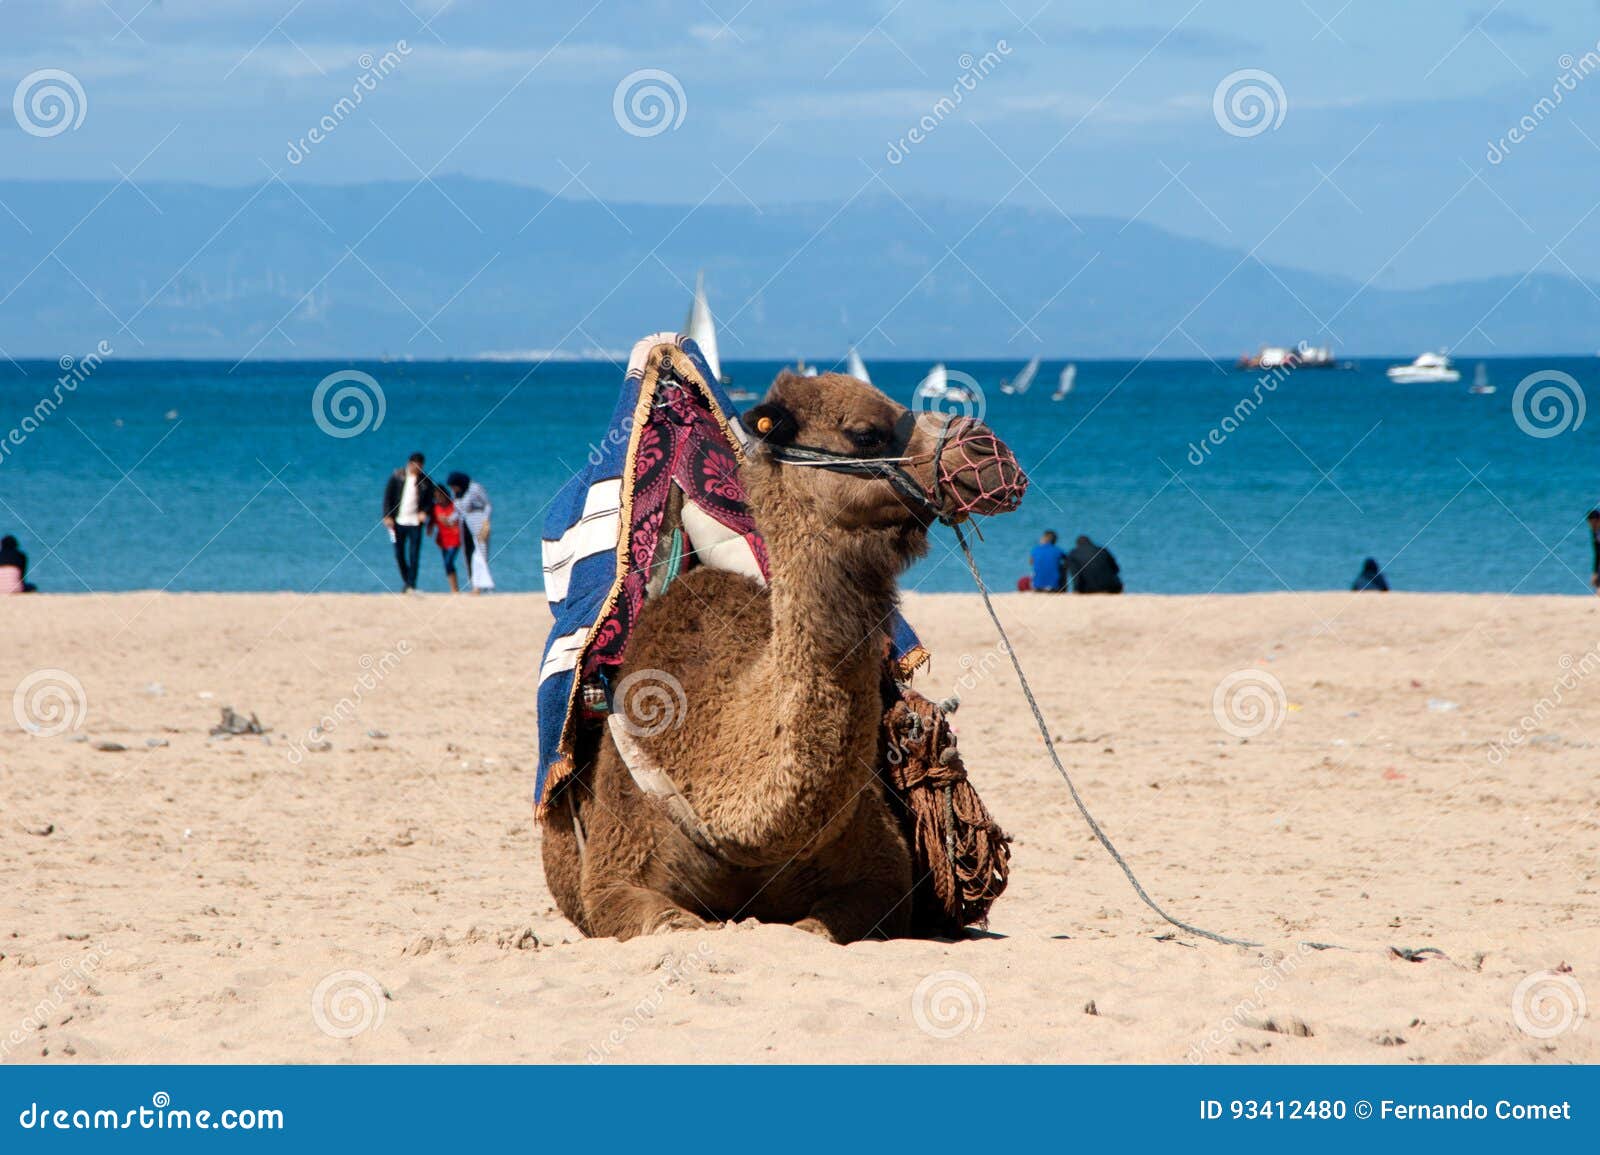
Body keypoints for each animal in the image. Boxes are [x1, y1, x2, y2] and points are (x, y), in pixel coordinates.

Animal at [541, 369, 1026, 942]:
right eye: (866, 433)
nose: (990, 453)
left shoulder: (883, 877)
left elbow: (820, 926)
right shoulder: (614, 879)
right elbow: (668, 921)